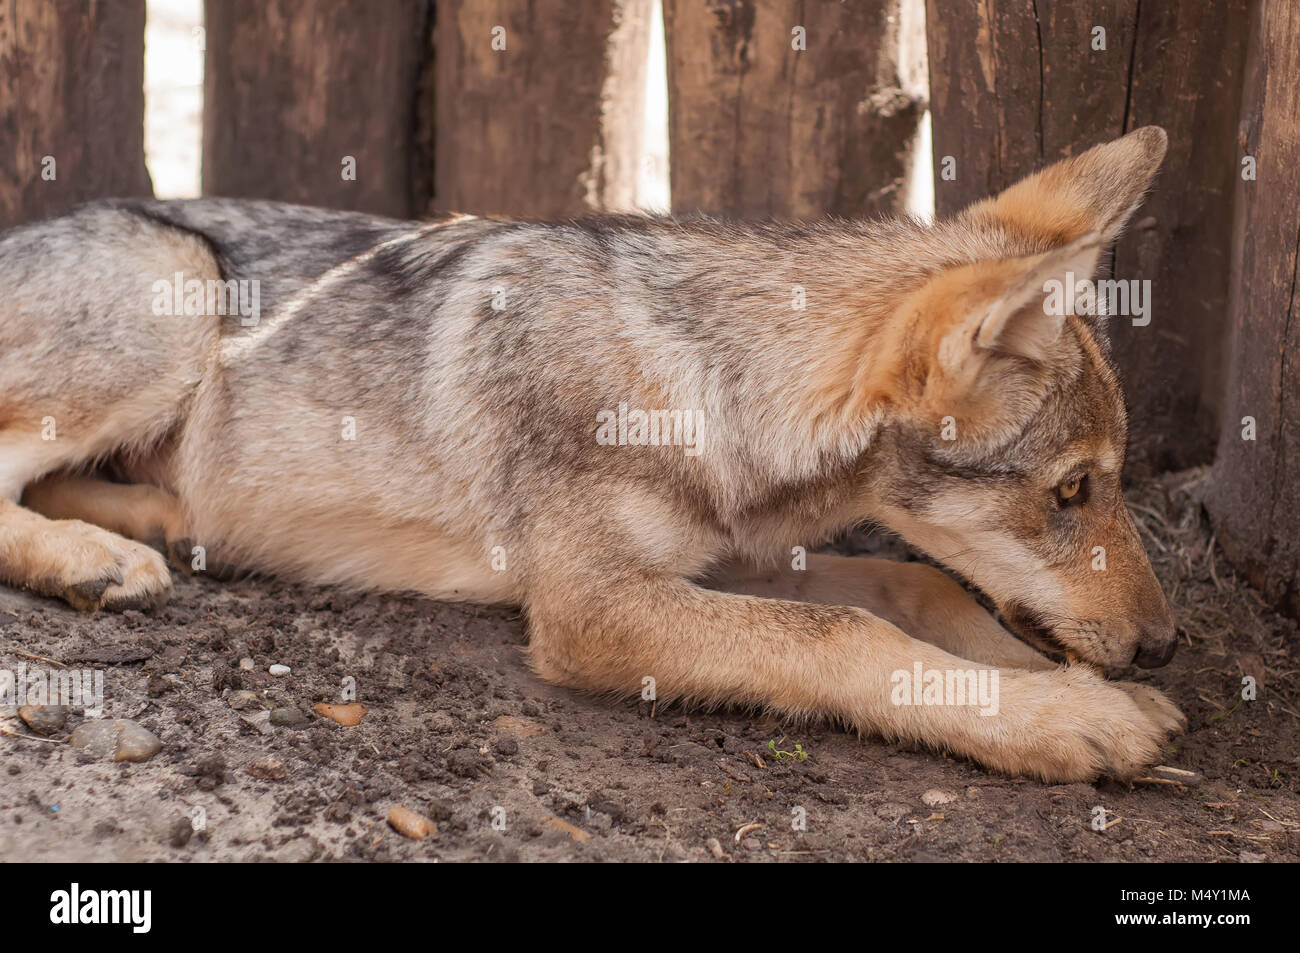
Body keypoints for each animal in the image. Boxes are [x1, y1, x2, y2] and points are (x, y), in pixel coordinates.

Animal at [0, 126, 1184, 782]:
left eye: (1103, 486)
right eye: (1071, 490)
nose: (1168, 644)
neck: (693, 378)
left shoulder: (721, 555)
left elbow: (915, 586)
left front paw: (1064, 680)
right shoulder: (594, 604)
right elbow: (845, 633)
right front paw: (1064, 716)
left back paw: (158, 525)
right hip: (180, 292)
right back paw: (95, 561)